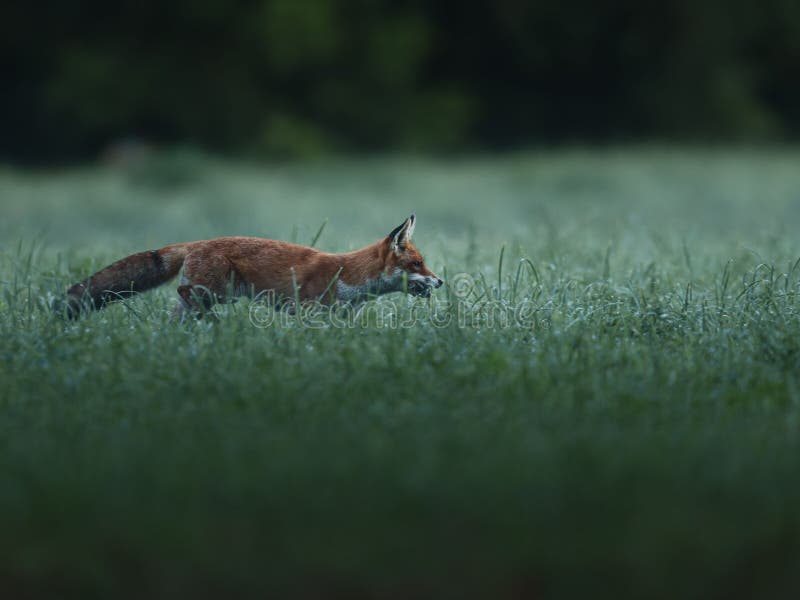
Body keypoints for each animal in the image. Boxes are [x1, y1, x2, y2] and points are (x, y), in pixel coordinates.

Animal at [58, 214, 443, 319]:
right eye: (418, 264)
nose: (440, 281)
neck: (349, 277)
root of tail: (196, 242)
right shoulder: (307, 311)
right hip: (216, 289)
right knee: (185, 292)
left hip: (204, 297)